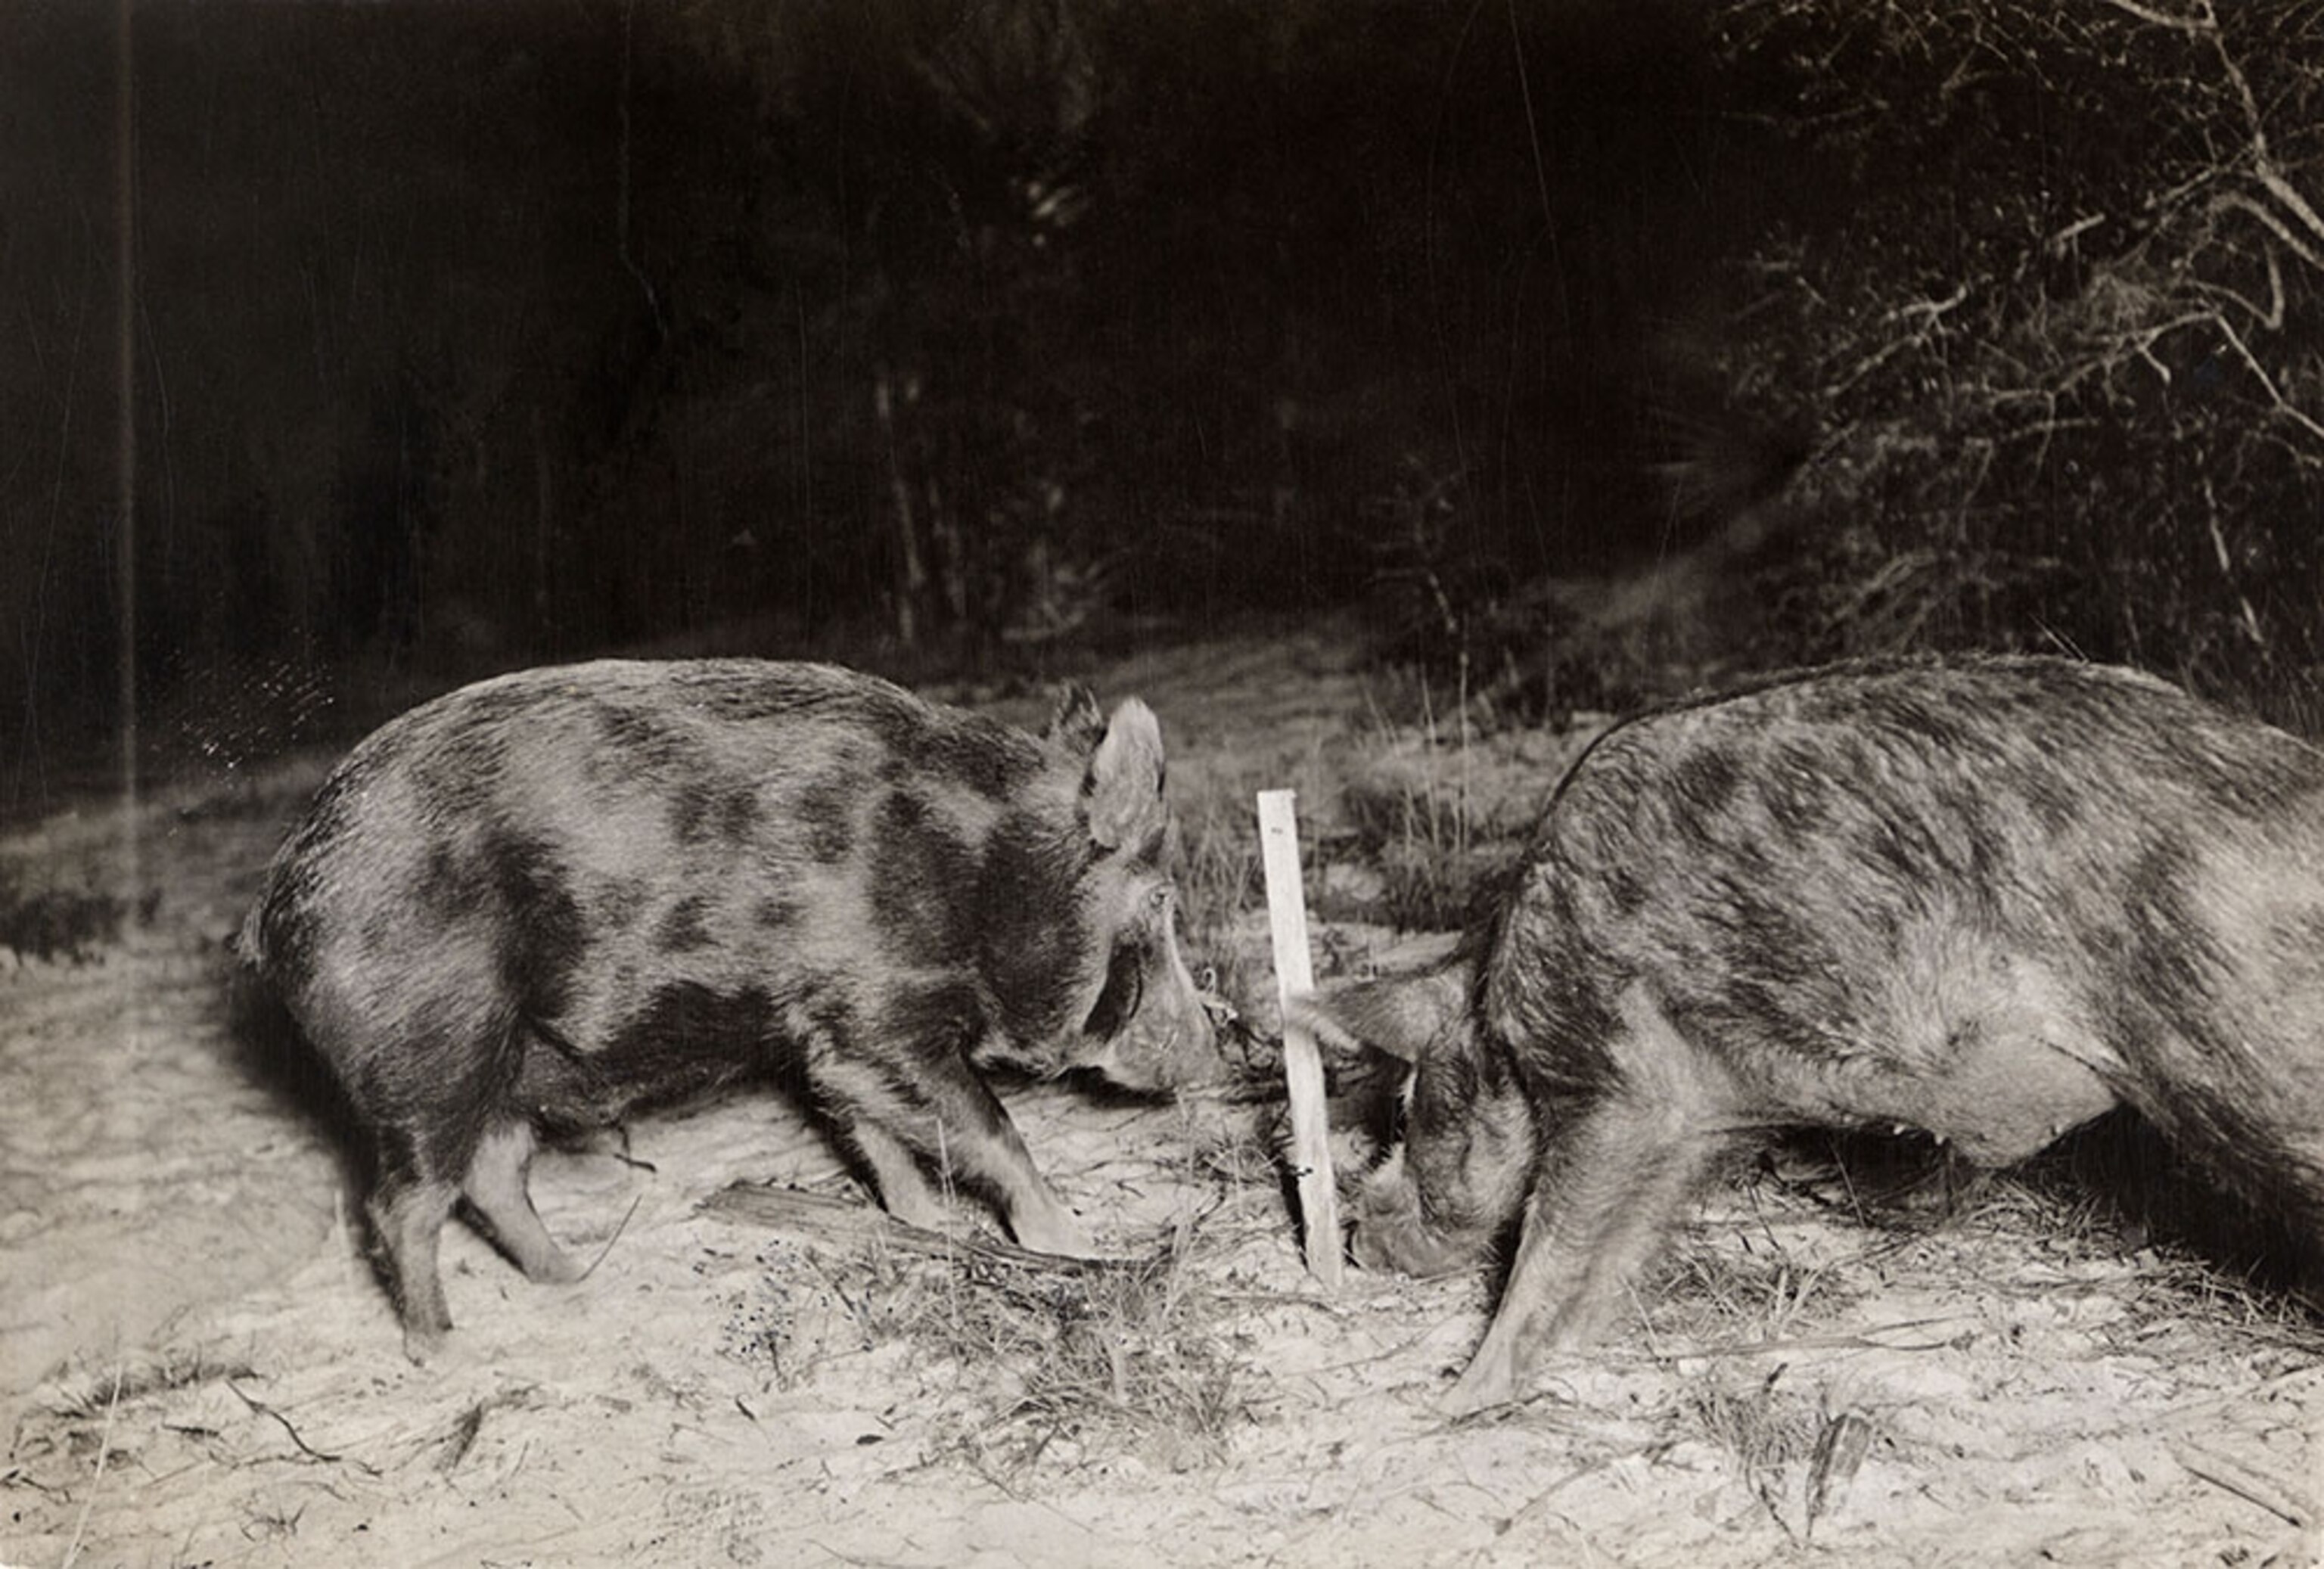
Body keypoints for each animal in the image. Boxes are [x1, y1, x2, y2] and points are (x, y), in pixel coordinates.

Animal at [237, 659, 1222, 1358]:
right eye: (1160, 903)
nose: (1213, 1046)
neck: (980, 873)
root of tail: (275, 908)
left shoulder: (827, 1033)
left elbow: (873, 1133)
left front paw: (929, 1225)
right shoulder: (875, 1009)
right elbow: (988, 1129)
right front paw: (1079, 1242)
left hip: (506, 1066)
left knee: (492, 1173)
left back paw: (574, 1279)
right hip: (426, 1052)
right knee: (403, 1203)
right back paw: (449, 1352)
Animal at [1297, 654, 2324, 1413]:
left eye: (1410, 1106)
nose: (1358, 1235)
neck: (1505, 978)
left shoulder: (1619, 1078)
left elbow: (1550, 1237)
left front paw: (1449, 1402)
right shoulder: (1685, 1123)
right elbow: (1616, 1247)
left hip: (2239, 1041)